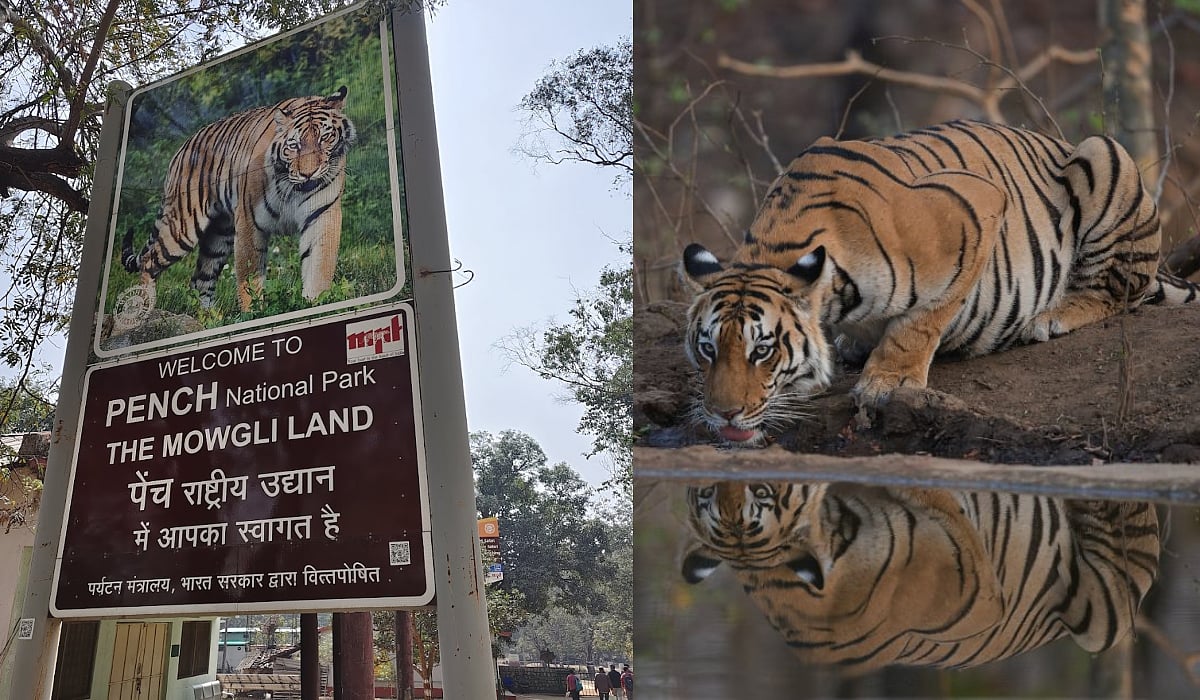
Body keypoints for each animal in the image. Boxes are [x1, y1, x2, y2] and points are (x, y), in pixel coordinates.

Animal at [121, 86, 357, 313]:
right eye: (294, 145)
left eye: (325, 138)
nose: (308, 174)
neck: (293, 188)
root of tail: (182, 149)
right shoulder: (249, 223)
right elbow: (249, 276)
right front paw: (253, 313)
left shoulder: (322, 215)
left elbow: (318, 266)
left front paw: (316, 304)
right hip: (182, 228)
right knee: (149, 262)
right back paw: (143, 311)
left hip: (219, 234)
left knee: (200, 279)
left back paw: (210, 319)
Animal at [682, 120, 1200, 443]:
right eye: (707, 348)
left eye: (762, 350)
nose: (722, 413)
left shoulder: (976, 208)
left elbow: (921, 321)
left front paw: (887, 382)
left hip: (1104, 155)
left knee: (1116, 291)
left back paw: (1051, 316)